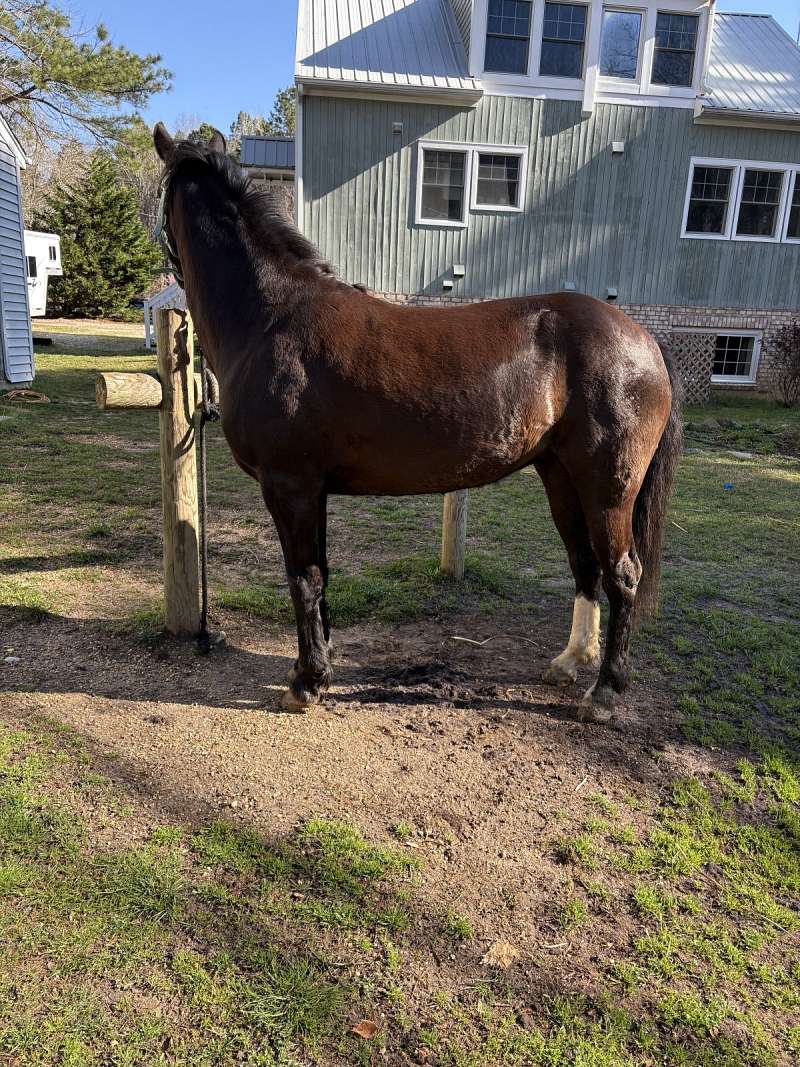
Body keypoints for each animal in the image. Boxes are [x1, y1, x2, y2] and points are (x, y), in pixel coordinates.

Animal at [153, 123, 682, 723]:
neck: (271, 317)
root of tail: (642, 338)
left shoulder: (289, 486)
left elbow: (303, 578)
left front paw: (306, 682)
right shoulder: (314, 490)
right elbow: (321, 574)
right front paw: (321, 668)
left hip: (608, 488)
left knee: (622, 574)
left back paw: (606, 692)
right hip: (562, 478)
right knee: (585, 564)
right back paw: (572, 662)